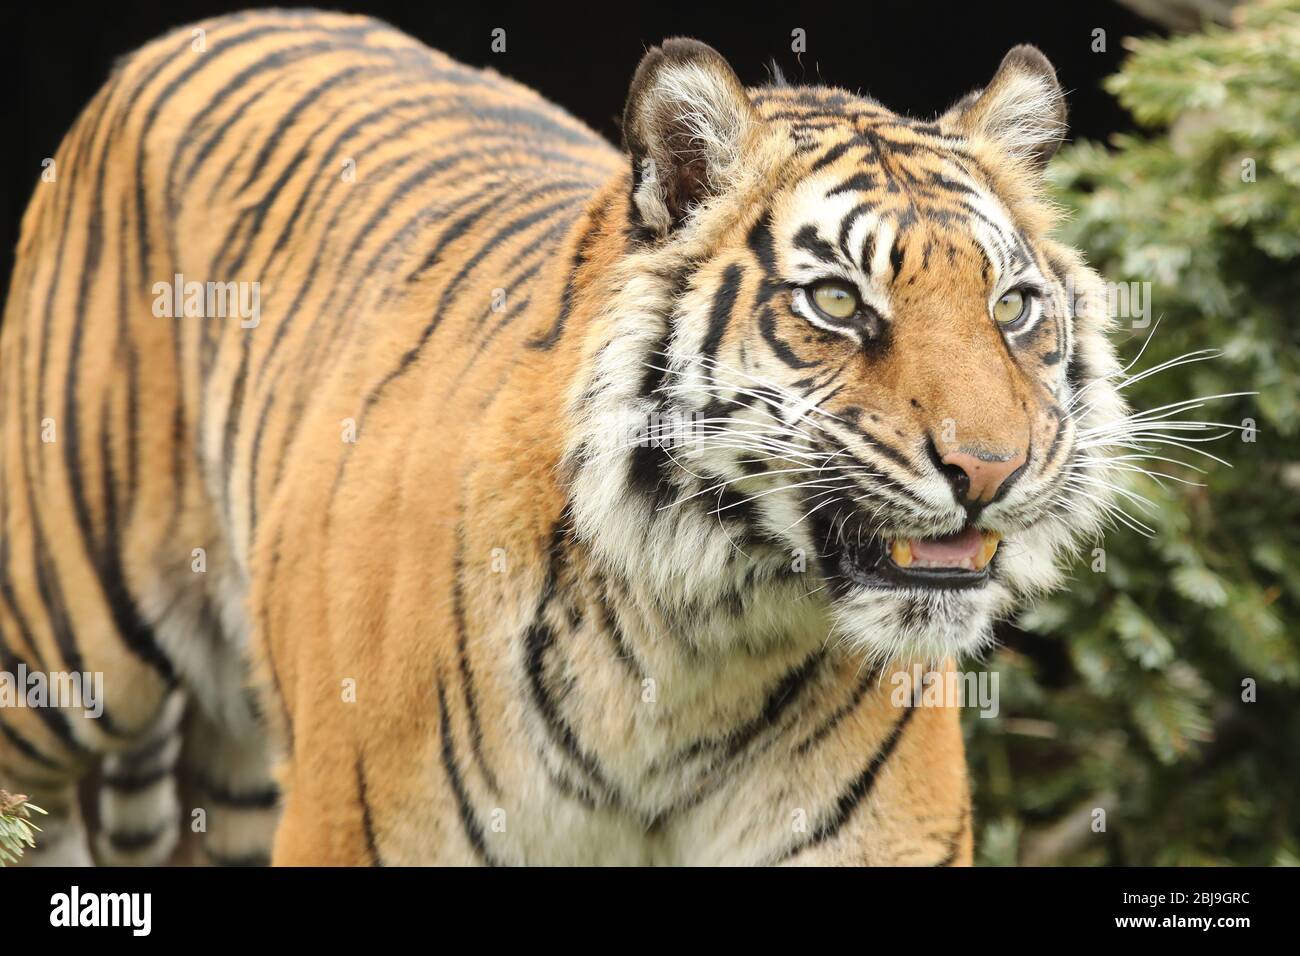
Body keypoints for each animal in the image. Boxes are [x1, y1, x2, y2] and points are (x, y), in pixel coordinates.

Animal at [0, 9, 1131, 866]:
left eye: (1011, 307)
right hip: (61, 651)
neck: (702, 651)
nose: (990, 469)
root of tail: (185, 34)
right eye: (839, 303)